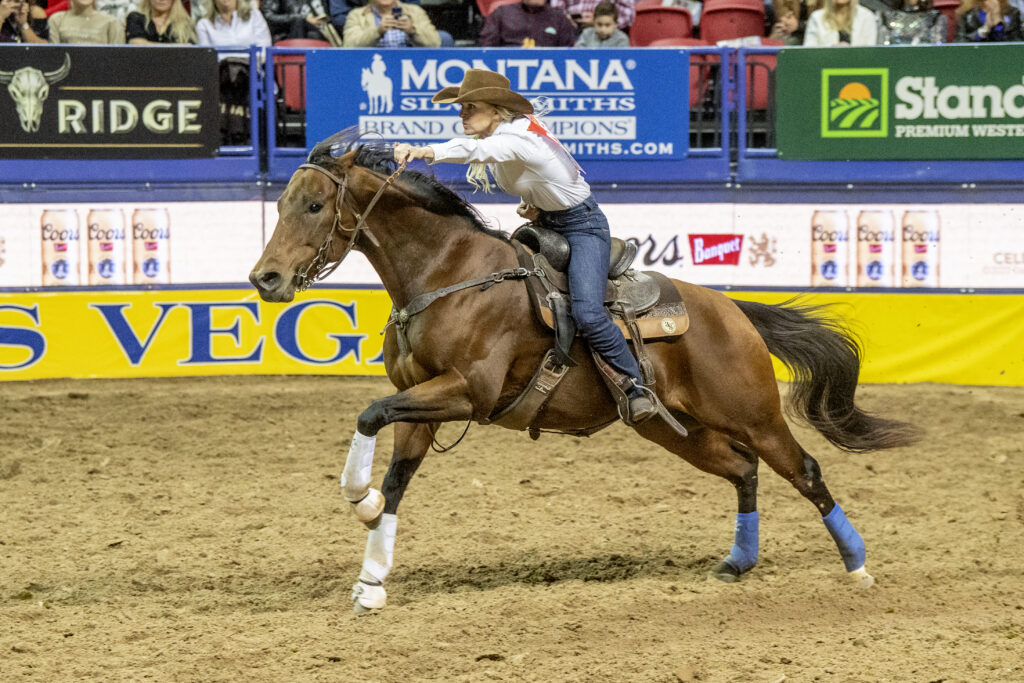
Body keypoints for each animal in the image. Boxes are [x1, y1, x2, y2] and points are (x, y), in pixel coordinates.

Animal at [249, 132, 920, 614]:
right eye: (280, 204)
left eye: (315, 205)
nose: (265, 278)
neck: (450, 274)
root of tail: (732, 309)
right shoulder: (420, 398)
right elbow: (395, 482)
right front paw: (371, 578)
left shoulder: (467, 393)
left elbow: (370, 419)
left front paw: (356, 500)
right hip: (669, 427)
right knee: (743, 470)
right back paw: (738, 561)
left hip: (752, 412)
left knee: (803, 469)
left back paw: (858, 566)